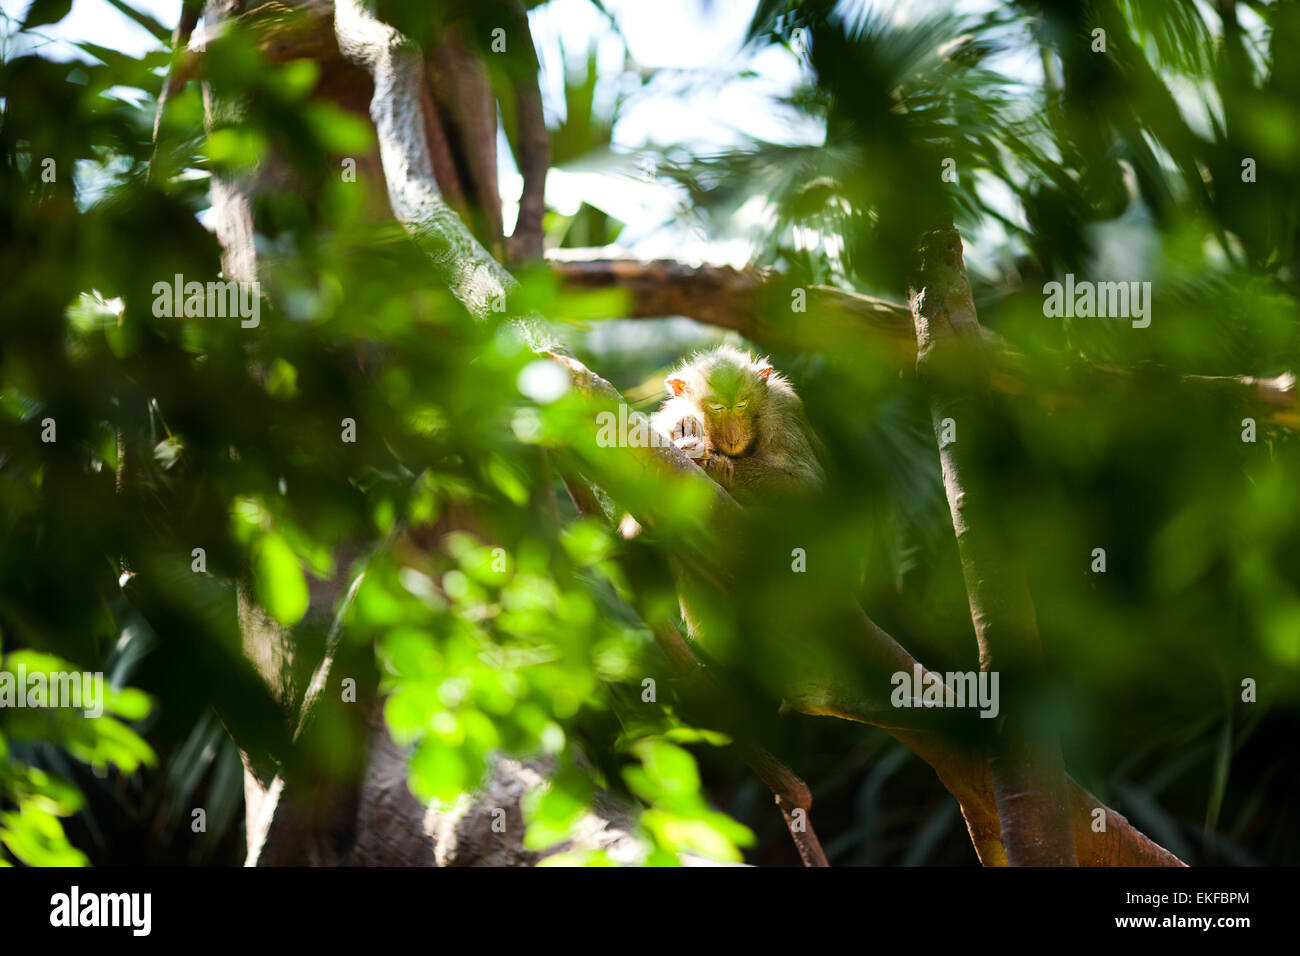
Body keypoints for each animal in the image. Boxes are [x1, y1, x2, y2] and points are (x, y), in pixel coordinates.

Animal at [651, 345, 824, 504]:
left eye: (742, 404)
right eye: (716, 407)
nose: (733, 438)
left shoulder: (781, 413)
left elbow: (807, 484)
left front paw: (711, 464)